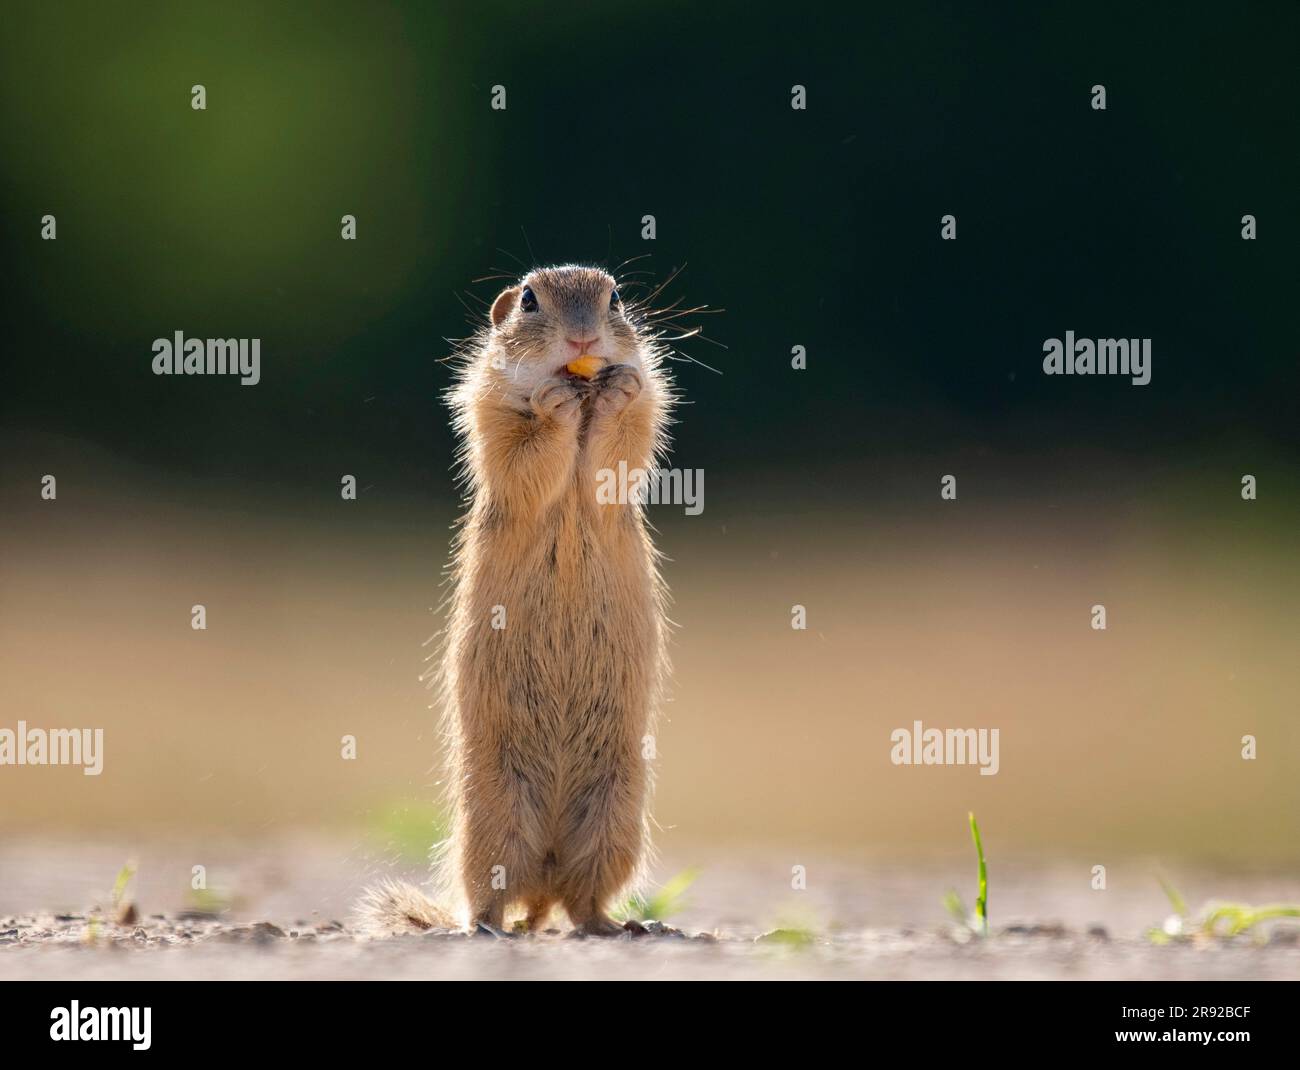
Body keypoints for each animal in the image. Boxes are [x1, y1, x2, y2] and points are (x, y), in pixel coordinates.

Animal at [360, 265, 673, 936]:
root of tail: (544, 879)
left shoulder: (646, 413)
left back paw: (622, 924)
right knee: (492, 892)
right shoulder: (490, 411)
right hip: (491, 820)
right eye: (530, 300)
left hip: (616, 819)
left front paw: (618, 388)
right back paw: (482, 924)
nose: (582, 340)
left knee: (583, 901)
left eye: (616, 298)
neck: (581, 397)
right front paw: (554, 405)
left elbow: (624, 438)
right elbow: (526, 450)